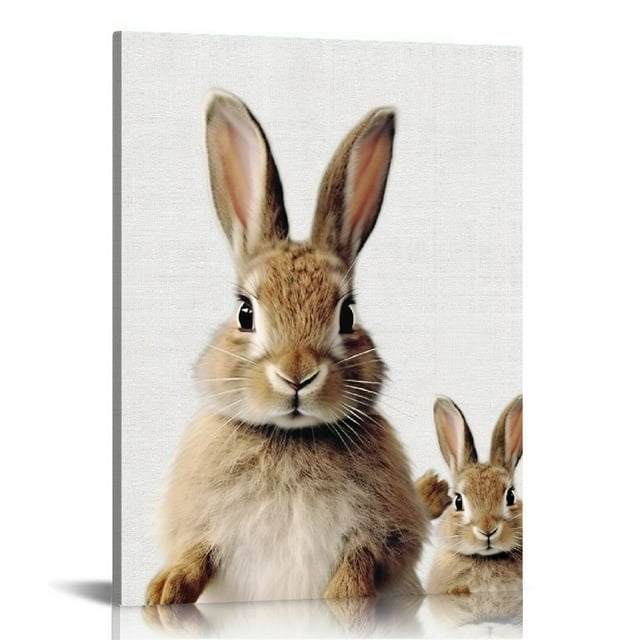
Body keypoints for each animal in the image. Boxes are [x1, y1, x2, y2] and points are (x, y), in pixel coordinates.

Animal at [145, 89, 434, 605]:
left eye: (347, 314)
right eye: (245, 312)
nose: (296, 375)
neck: (291, 437)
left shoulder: (383, 537)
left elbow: (363, 558)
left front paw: (345, 599)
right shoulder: (201, 529)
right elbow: (195, 556)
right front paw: (165, 590)